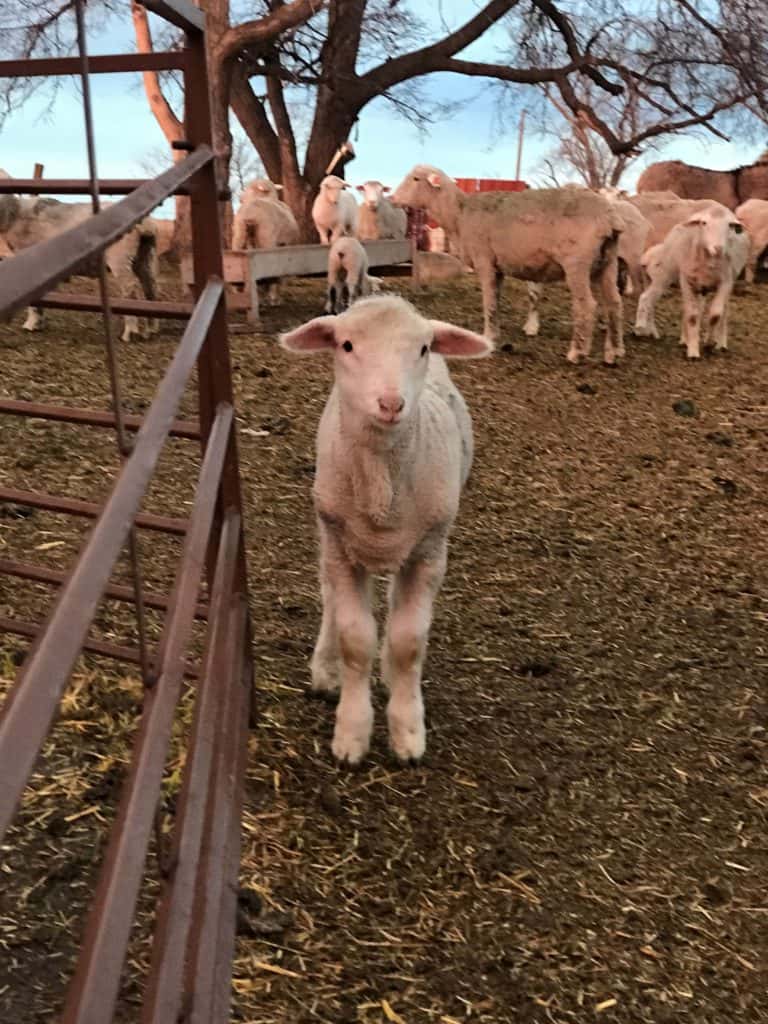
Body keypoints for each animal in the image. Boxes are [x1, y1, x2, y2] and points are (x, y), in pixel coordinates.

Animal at [0, 193, 158, 341]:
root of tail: (146, 225)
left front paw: (31, 324)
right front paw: (38, 323)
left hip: (120, 259)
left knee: (130, 290)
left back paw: (130, 332)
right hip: (143, 256)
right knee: (150, 288)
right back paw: (150, 329)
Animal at [279, 295, 492, 764]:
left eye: (423, 348)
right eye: (346, 345)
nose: (392, 404)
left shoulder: (428, 552)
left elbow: (408, 640)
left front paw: (408, 732)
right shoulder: (341, 548)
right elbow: (355, 638)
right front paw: (352, 734)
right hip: (330, 534)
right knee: (329, 597)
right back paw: (326, 668)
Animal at [391, 167, 624, 365]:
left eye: (416, 178)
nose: (393, 199)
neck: (459, 214)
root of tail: (609, 217)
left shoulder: (484, 260)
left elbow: (488, 301)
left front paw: (488, 336)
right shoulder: (498, 267)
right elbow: (495, 300)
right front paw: (495, 333)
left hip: (577, 262)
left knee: (587, 305)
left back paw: (577, 353)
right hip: (607, 261)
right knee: (614, 303)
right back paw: (613, 353)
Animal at [634, 205, 749, 358]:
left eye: (730, 225)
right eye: (704, 223)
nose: (718, 249)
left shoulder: (725, 283)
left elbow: (715, 315)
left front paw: (709, 343)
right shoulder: (687, 281)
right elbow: (692, 316)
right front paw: (693, 351)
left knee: (723, 312)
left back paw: (721, 344)